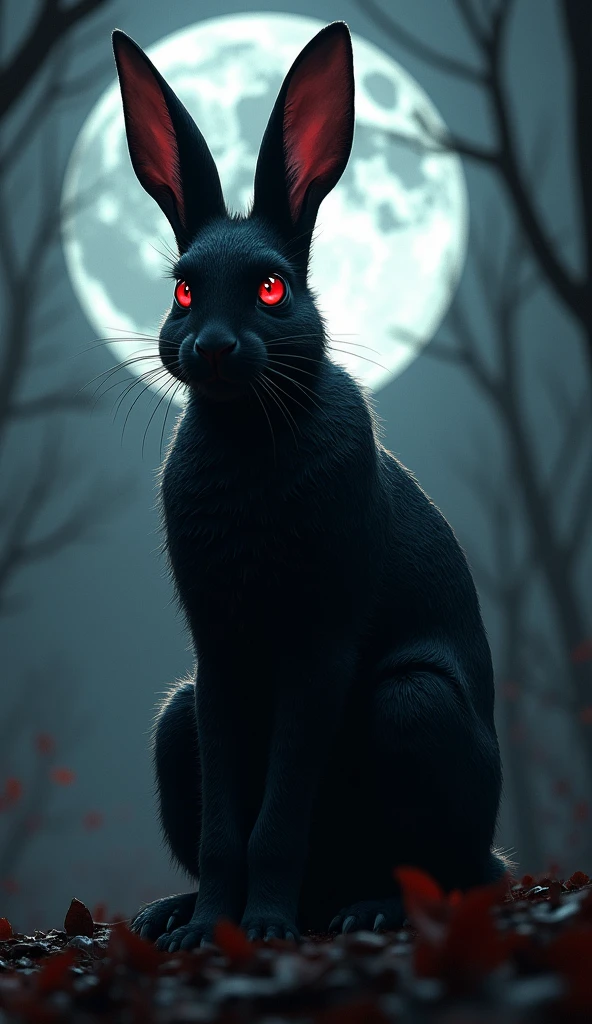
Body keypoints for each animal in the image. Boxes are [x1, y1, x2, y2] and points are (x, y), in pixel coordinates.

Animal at [111, 20, 513, 951]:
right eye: (181, 290)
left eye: (271, 288)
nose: (212, 347)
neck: (250, 433)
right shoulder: (219, 659)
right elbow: (227, 824)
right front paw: (207, 930)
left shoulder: (319, 643)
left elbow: (279, 813)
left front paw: (259, 928)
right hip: (176, 720)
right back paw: (168, 914)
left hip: (414, 707)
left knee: (443, 872)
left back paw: (365, 908)